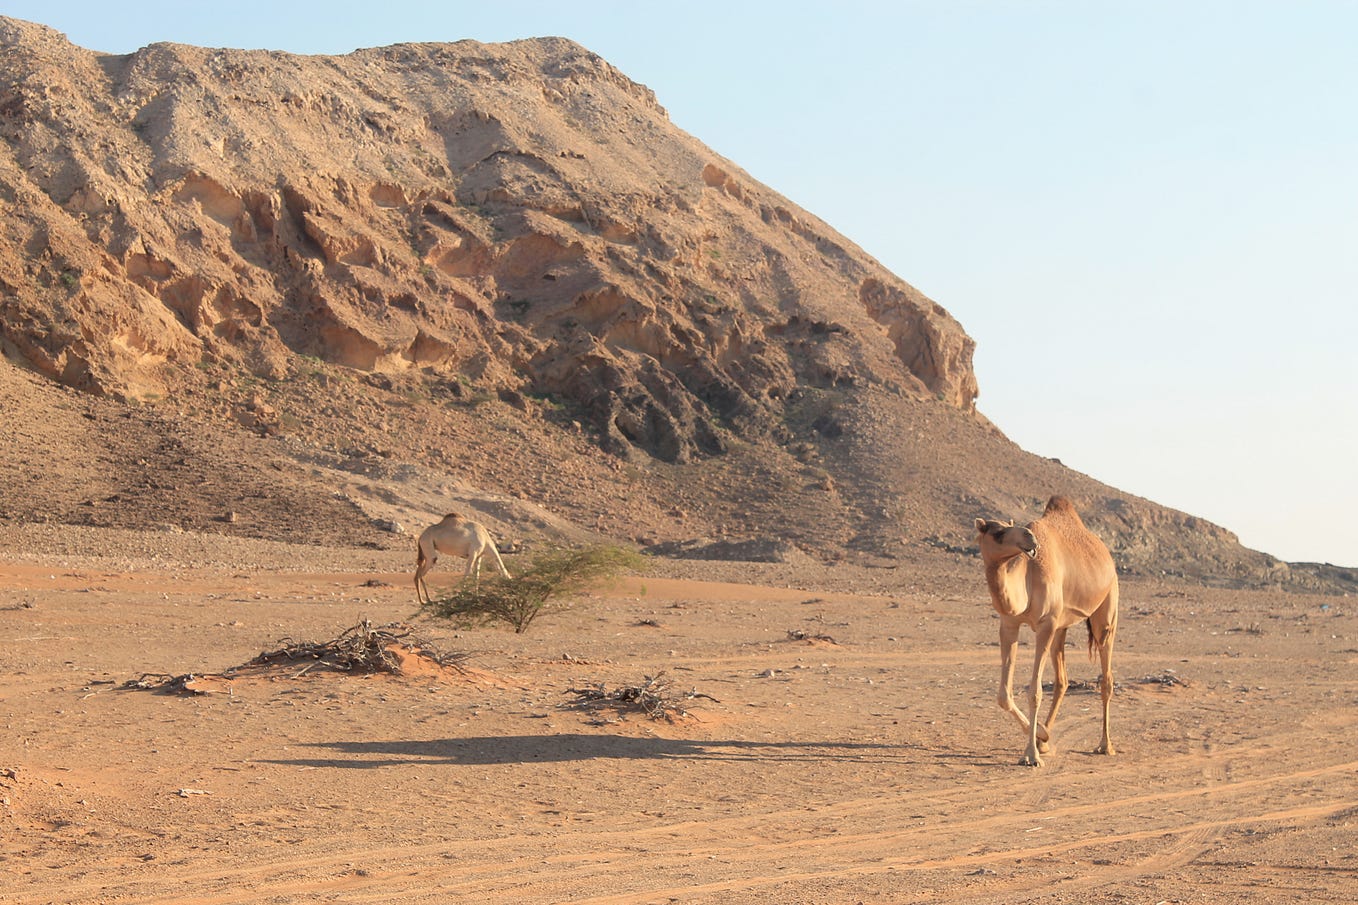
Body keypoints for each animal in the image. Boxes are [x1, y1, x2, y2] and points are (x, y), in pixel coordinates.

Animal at [974, 495, 1118, 766]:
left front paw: (1030, 755)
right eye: (998, 531)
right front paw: (1040, 734)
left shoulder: (1046, 624)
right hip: (1062, 626)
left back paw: (1105, 745)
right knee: (1062, 680)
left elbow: (1035, 692)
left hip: (1106, 613)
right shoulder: (1009, 624)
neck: (1026, 577)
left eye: (1008, 526)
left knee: (1106, 677)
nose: (1030, 537)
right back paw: (1046, 738)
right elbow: (1004, 695)